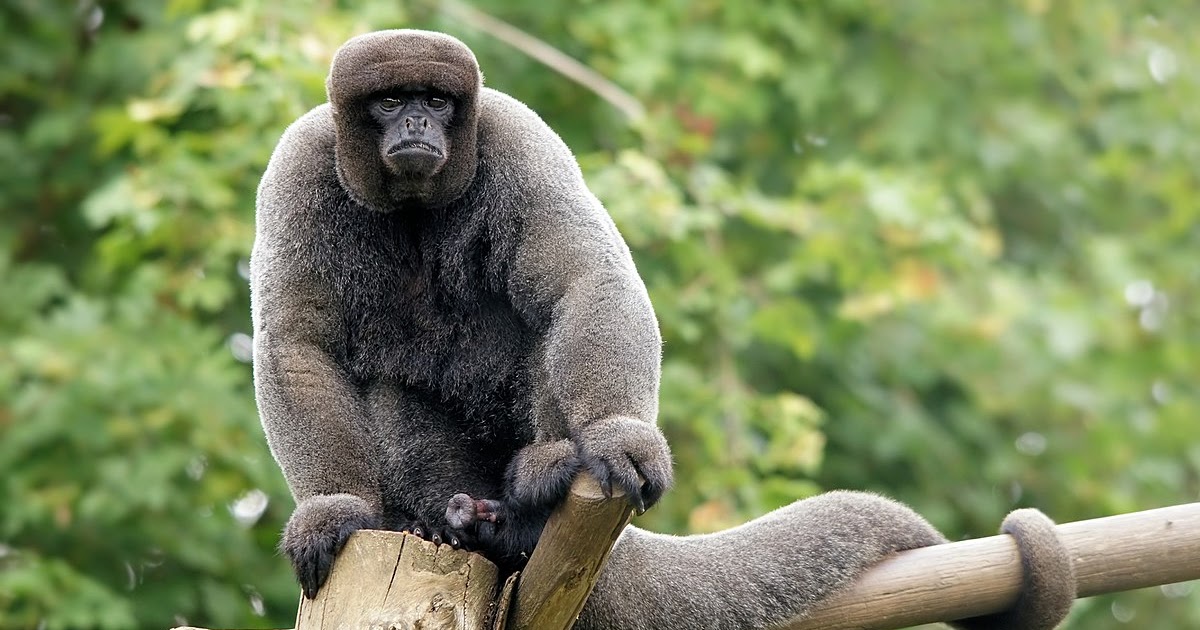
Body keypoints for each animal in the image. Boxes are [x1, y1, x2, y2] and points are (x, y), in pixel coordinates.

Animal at [251, 29, 1076, 629]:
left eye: (434, 100)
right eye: (391, 100)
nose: (419, 122)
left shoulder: (515, 137)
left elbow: (586, 280)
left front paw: (617, 436)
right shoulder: (297, 165)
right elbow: (295, 343)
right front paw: (335, 509)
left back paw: (533, 500)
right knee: (395, 392)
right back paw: (455, 521)